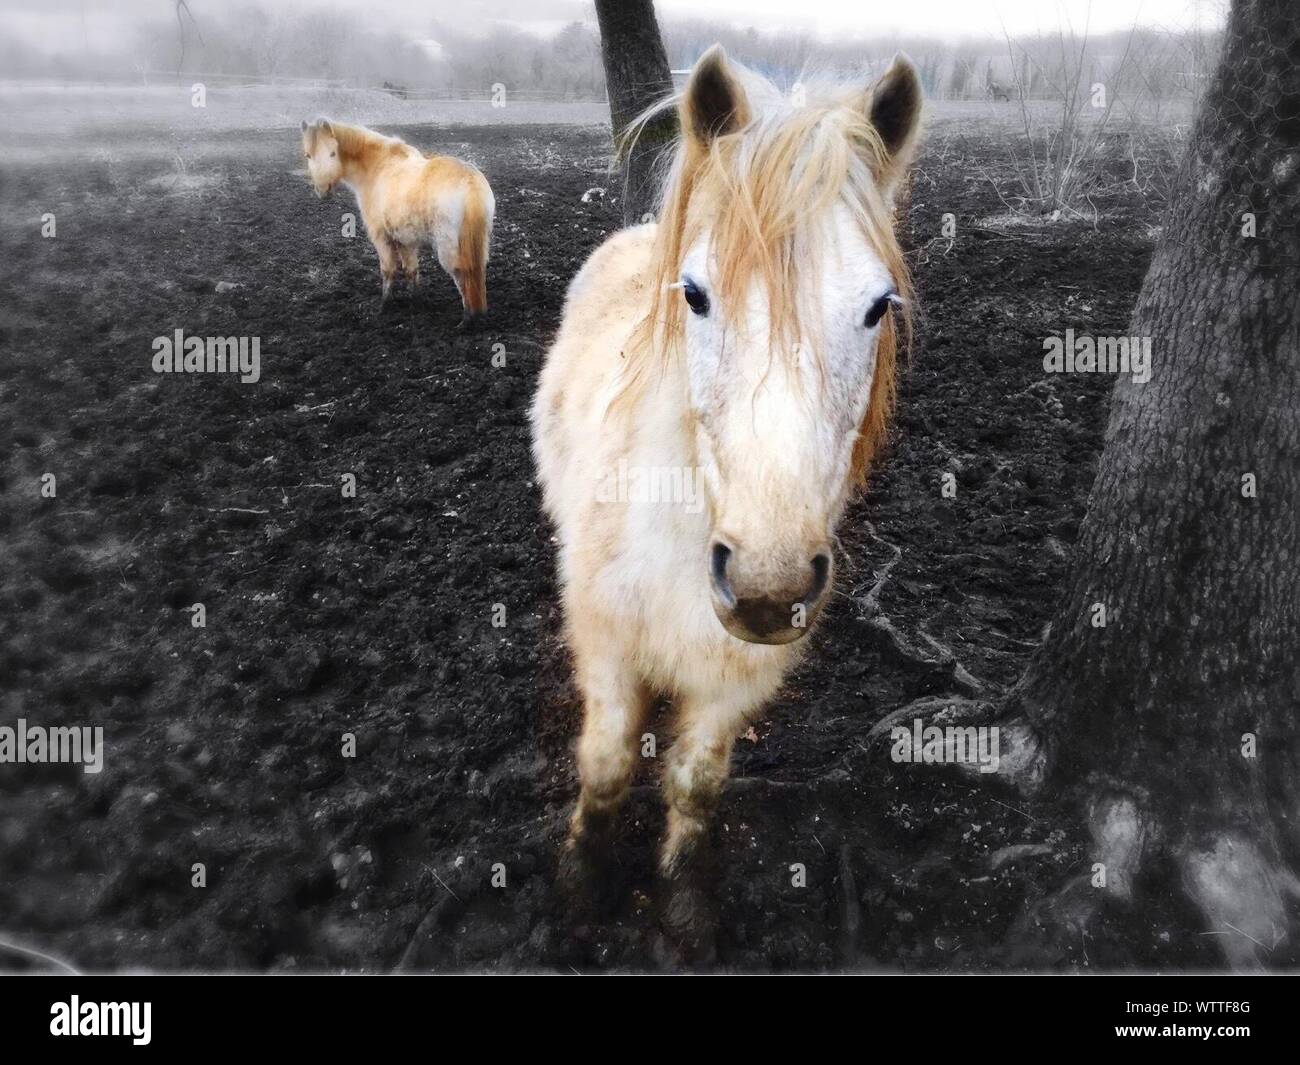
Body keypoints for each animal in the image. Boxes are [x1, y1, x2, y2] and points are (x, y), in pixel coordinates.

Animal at [299, 119, 494, 327]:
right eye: (308, 155)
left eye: (333, 153)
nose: (323, 190)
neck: (377, 166)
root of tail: (470, 182)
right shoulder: (405, 240)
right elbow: (411, 270)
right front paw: (416, 303)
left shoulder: (381, 237)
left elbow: (388, 270)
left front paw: (384, 305)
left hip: (448, 247)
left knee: (463, 273)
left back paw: (467, 319)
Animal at [530, 45, 922, 950]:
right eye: (696, 294)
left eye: (877, 307)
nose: (767, 588)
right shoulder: (606, 641)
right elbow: (606, 764)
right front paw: (580, 889)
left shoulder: (735, 680)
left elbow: (696, 782)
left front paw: (684, 912)